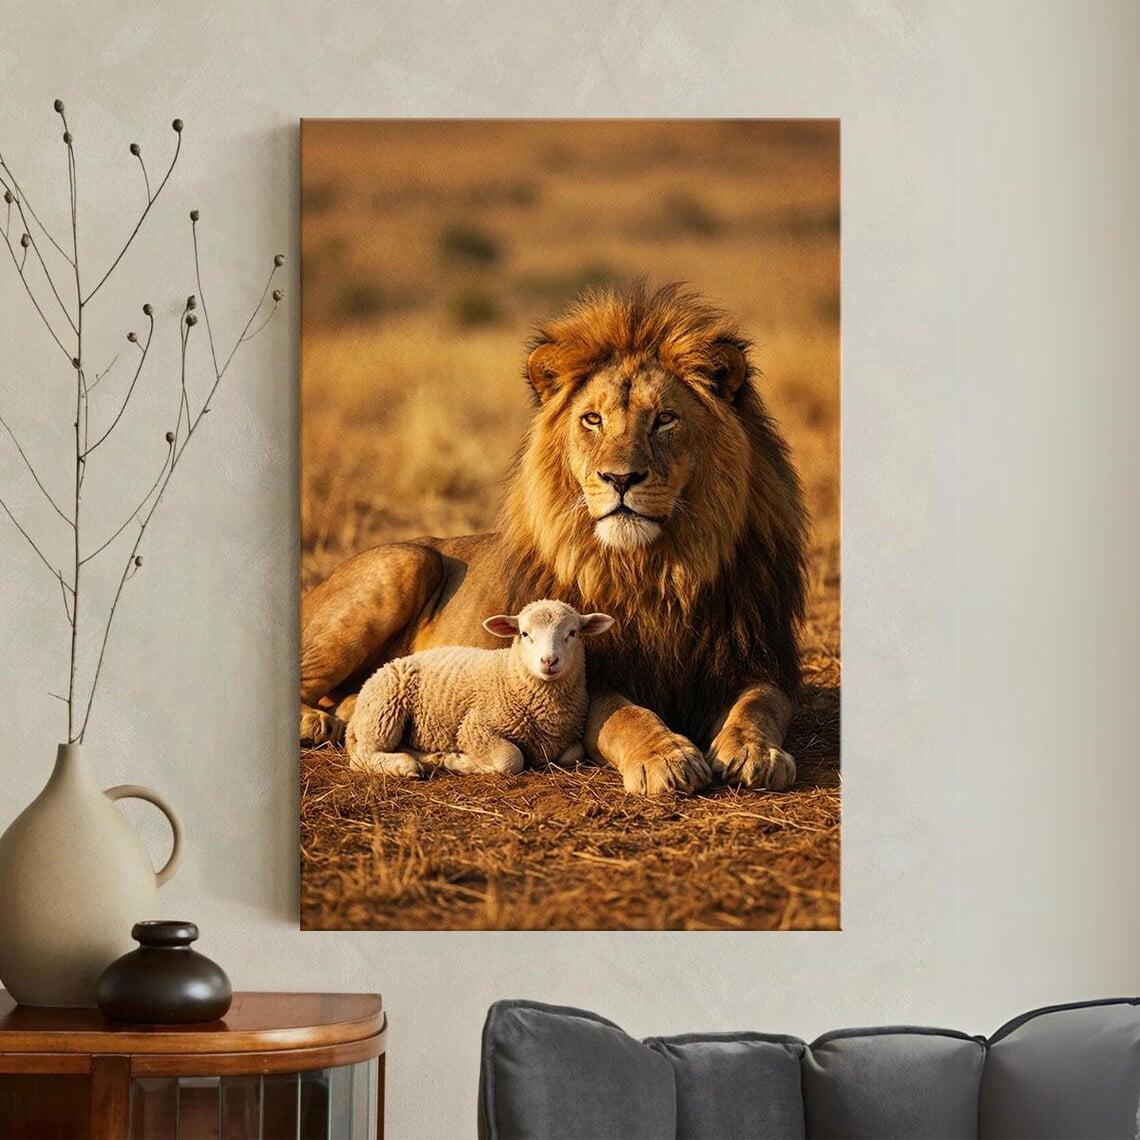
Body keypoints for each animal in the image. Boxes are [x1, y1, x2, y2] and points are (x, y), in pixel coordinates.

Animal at [345, 599, 614, 779]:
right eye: (524, 633)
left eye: (572, 632)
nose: (549, 661)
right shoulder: (474, 728)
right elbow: (511, 759)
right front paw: (459, 760)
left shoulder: (567, 738)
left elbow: (574, 753)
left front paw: (448, 758)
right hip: (384, 709)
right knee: (361, 756)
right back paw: (406, 766)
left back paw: (429, 758)